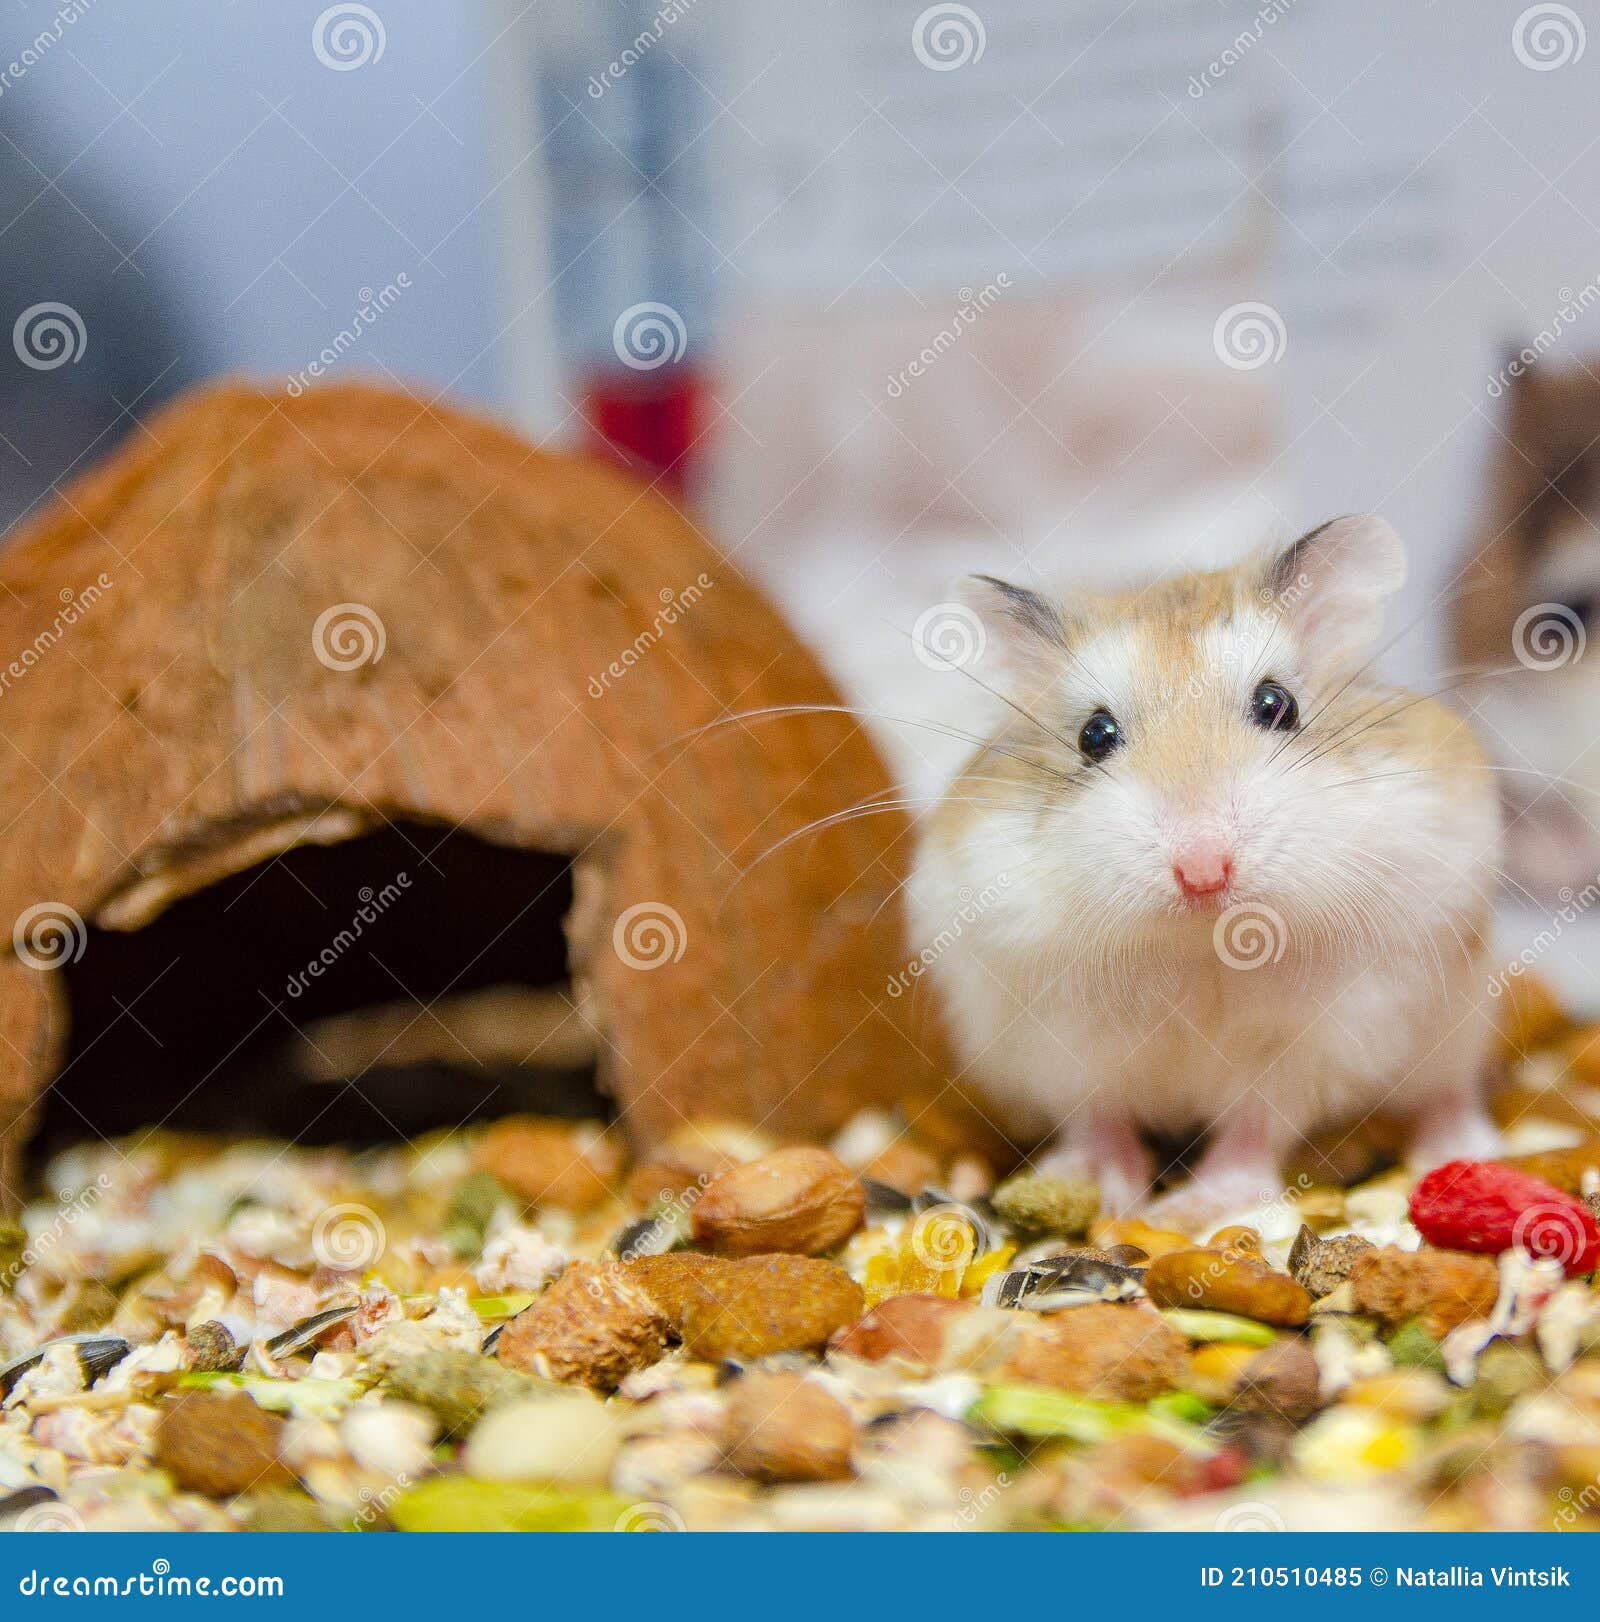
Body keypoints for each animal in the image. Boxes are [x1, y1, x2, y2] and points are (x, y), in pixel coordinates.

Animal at [909, 515, 1503, 1230]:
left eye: (1277, 704)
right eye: (1094, 736)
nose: (1202, 871)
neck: (1201, 947)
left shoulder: (1304, 1047)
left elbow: (1252, 1129)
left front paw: (1191, 1207)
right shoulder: (1059, 1043)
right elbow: (1098, 1118)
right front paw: (1106, 1187)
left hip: (1460, 1025)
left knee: (1448, 1092)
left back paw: (1463, 1148)